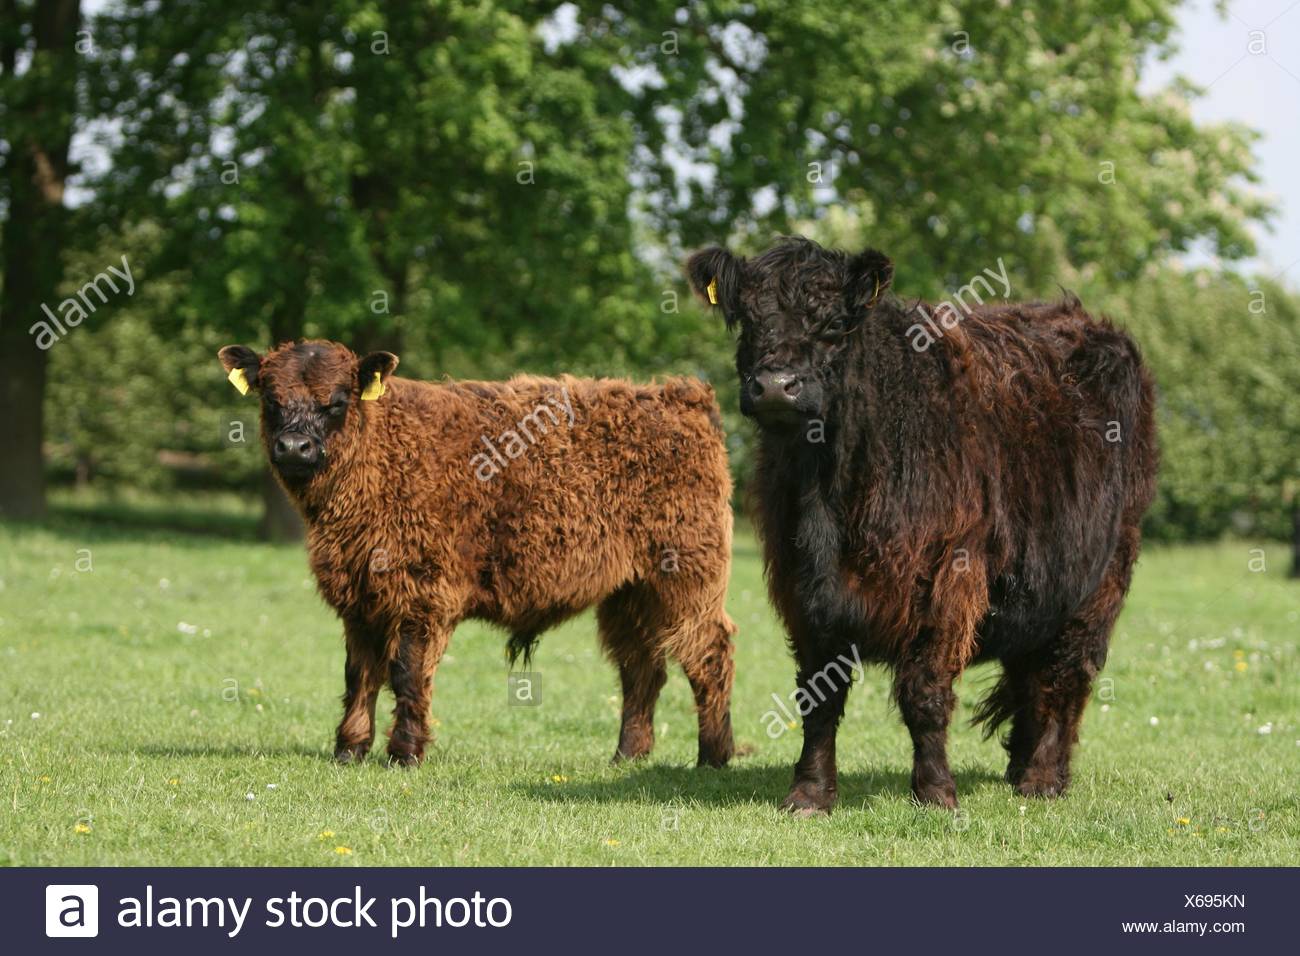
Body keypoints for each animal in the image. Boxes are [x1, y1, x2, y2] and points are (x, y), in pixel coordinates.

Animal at [217, 340, 737, 769]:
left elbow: (405, 674)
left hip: (687, 578)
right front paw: (350, 749)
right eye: (270, 398)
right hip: (630, 593)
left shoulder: (421, 595)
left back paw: (712, 757)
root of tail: (679, 396)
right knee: (641, 667)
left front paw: (404, 753)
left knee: (709, 654)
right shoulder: (359, 598)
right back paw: (627, 755)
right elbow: (359, 674)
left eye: (338, 401)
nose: (294, 447)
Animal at [686, 236, 1157, 812]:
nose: (777, 386)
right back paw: (1025, 769)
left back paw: (1042, 779)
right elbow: (819, 695)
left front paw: (935, 792)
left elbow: (925, 692)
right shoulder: (801, 584)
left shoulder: (949, 573)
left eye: (833, 323)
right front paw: (810, 793)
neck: (830, 490)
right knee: (1032, 672)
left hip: (1102, 578)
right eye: (748, 319)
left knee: (1064, 674)